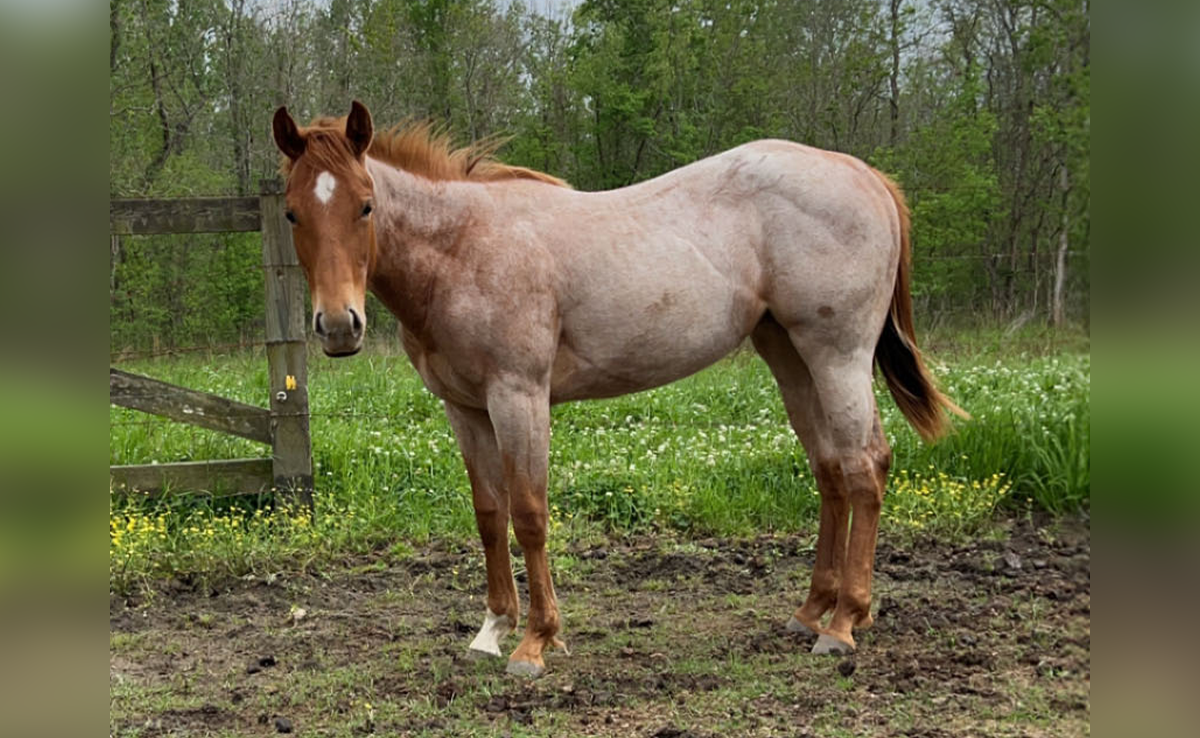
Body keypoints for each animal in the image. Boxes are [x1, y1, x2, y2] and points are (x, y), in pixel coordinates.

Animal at [272, 101, 966, 677]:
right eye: (292, 212)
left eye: (365, 205)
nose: (339, 326)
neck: (465, 248)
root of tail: (865, 175)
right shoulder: (464, 408)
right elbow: (490, 515)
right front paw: (493, 629)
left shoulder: (519, 397)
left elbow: (530, 514)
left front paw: (535, 642)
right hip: (790, 356)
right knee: (829, 471)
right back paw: (811, 612)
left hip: (838, 355)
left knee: (864, 467)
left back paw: (843, 624)